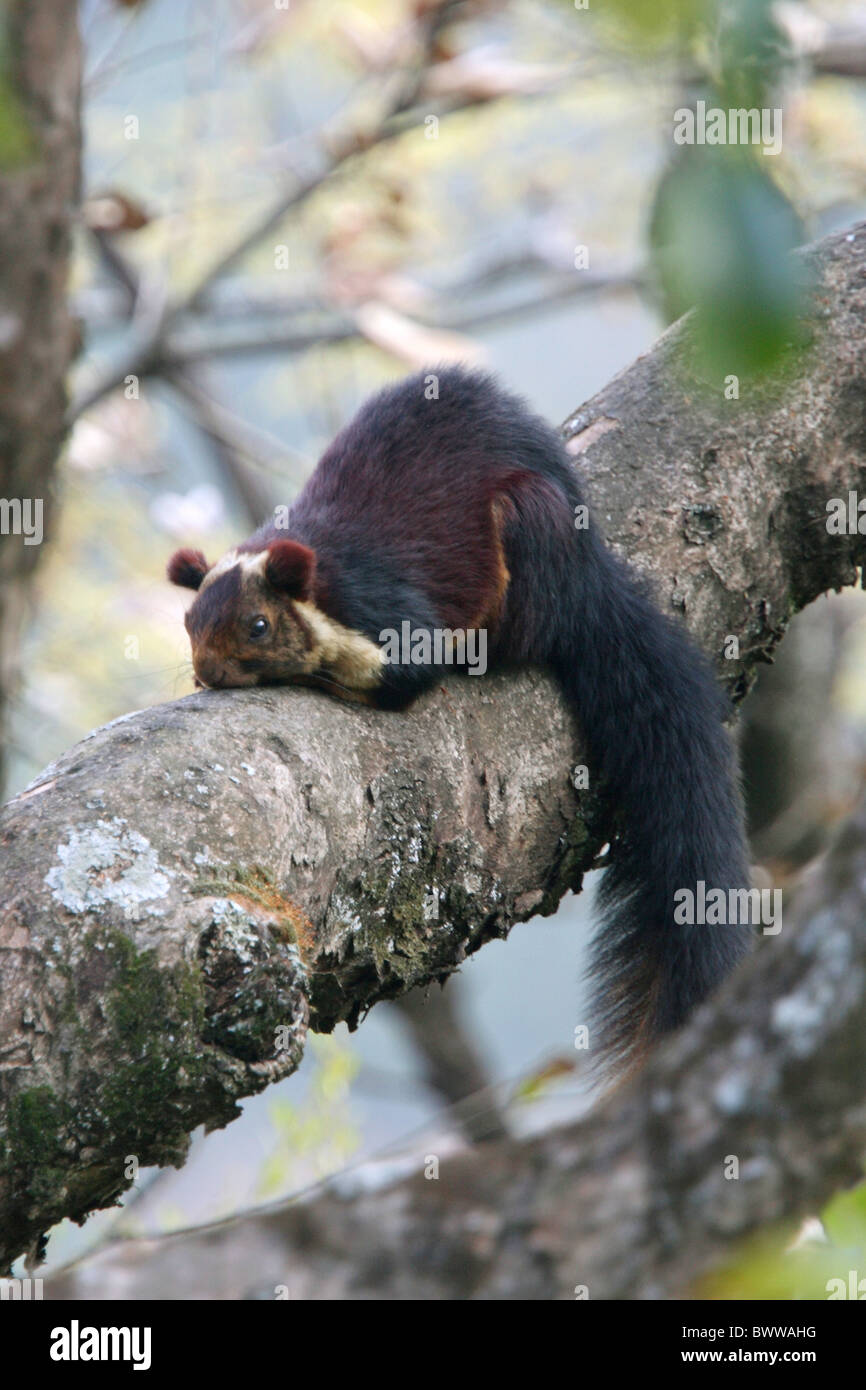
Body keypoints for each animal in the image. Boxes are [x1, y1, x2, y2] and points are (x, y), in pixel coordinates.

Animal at [168, 366, 751, 1066]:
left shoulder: (392, 622)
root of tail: (589, 574)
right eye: (189, 622)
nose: (209, 673)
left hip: (526, 531)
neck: (324, 585)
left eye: (258, 626)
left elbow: (396, 680)